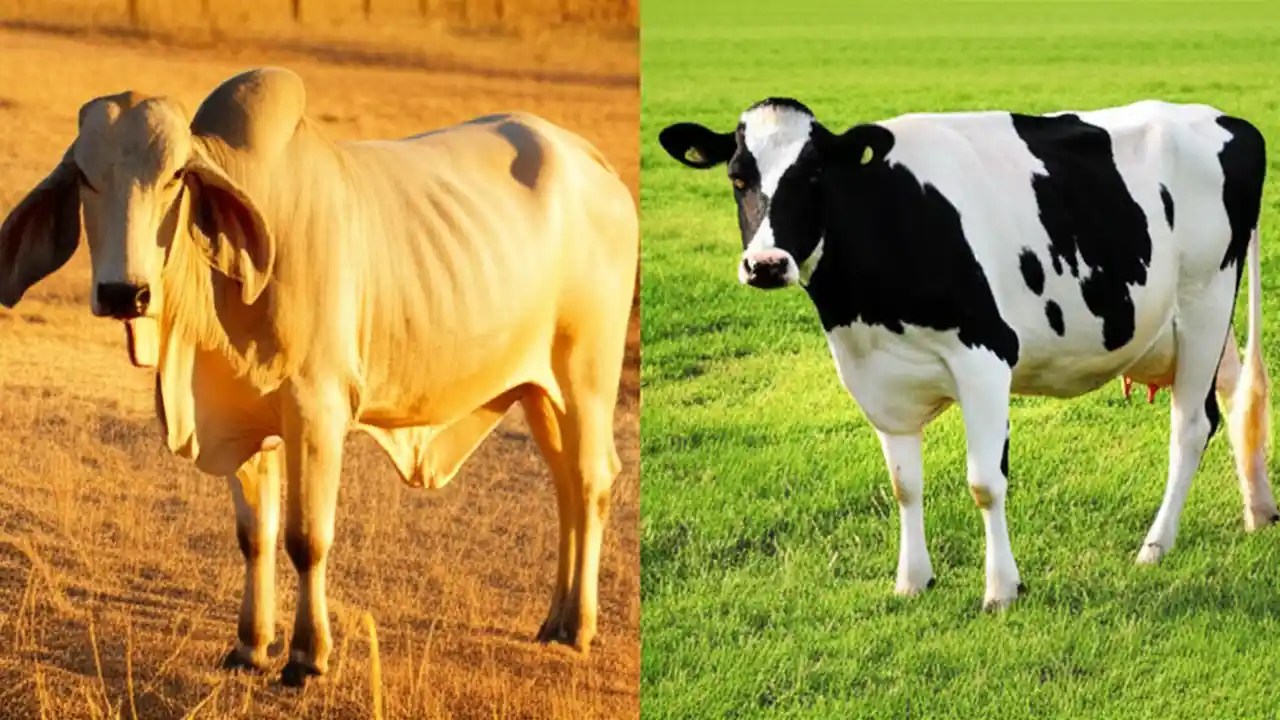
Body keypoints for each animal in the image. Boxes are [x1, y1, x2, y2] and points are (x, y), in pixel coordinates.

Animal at [0, 67, 638, 685]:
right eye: (84, 176)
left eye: (176, 174)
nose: (123, 292)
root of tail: (594, 164)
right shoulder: (248, 423)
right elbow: (255, 537)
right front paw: (249, 647)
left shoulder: (317, 411)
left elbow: (306, 539)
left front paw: (307, 656)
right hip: (538, 391)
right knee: (564, 485)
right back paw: (554, 620)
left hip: (584, 379)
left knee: (590, 479)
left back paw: (579, 626)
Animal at [658, 98, 1274, 609]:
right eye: (738, 177)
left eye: (813, 175)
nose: (766, 264)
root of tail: (1228, 120)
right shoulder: (879, 376)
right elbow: (904, 484)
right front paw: (912, 580)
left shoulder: (985, 357)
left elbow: (985, 481)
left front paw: (1001, 589)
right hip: (1192, 325)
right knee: (1234, 398)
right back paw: (1259, 511)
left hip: (1206, 298)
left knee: (1191, 426)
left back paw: (1155, 546)